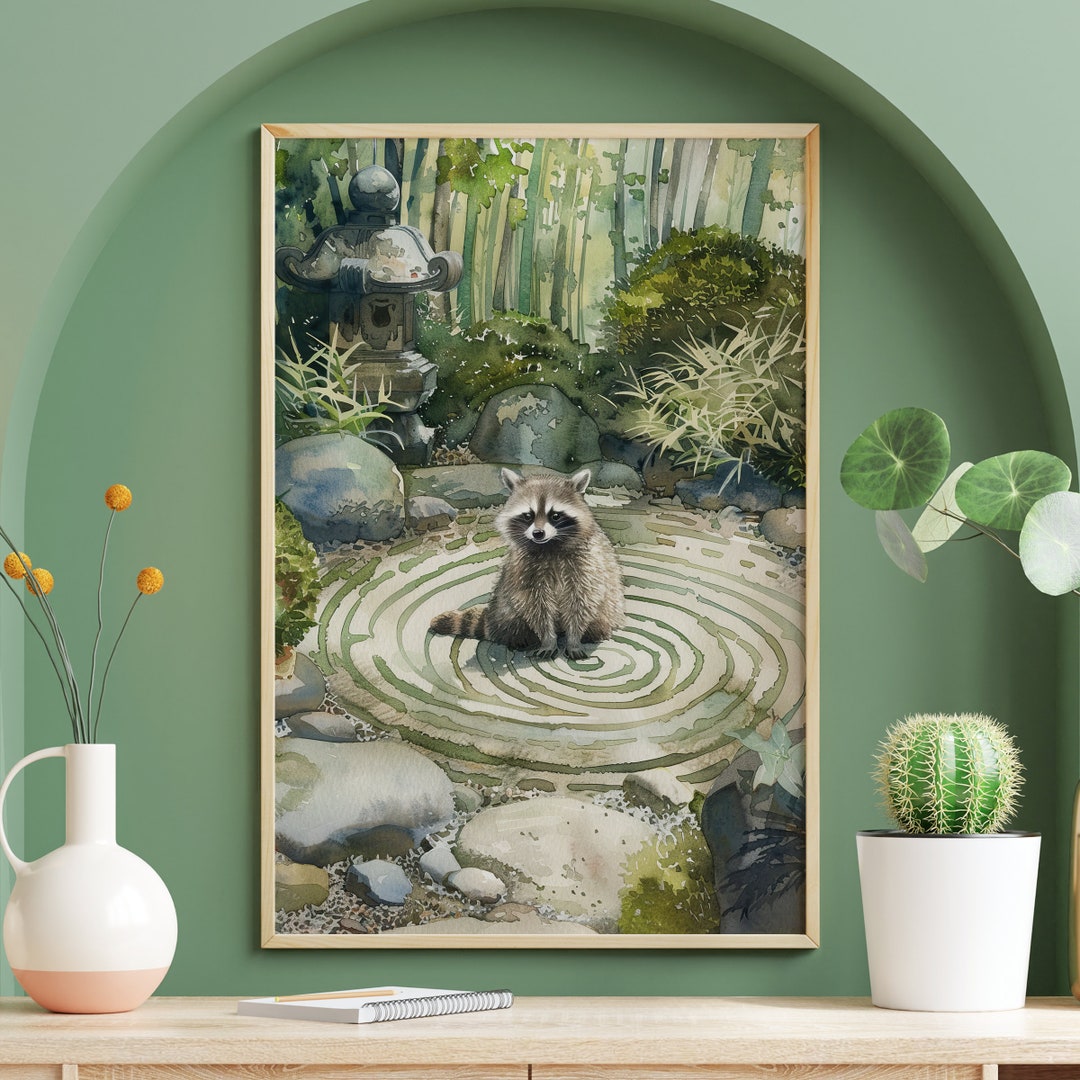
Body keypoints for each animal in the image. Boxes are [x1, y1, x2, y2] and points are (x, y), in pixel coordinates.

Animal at [430, 468, 624, 659]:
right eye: (528, 515)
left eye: (555, 515)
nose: (538, 533)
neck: (549, 546)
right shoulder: (523, 568)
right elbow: (536, 606)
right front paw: (548, 640)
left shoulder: (586, 565)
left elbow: (581, 602)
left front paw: (574, 639)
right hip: (505, 607)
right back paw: (520, 639)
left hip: (609, 607)